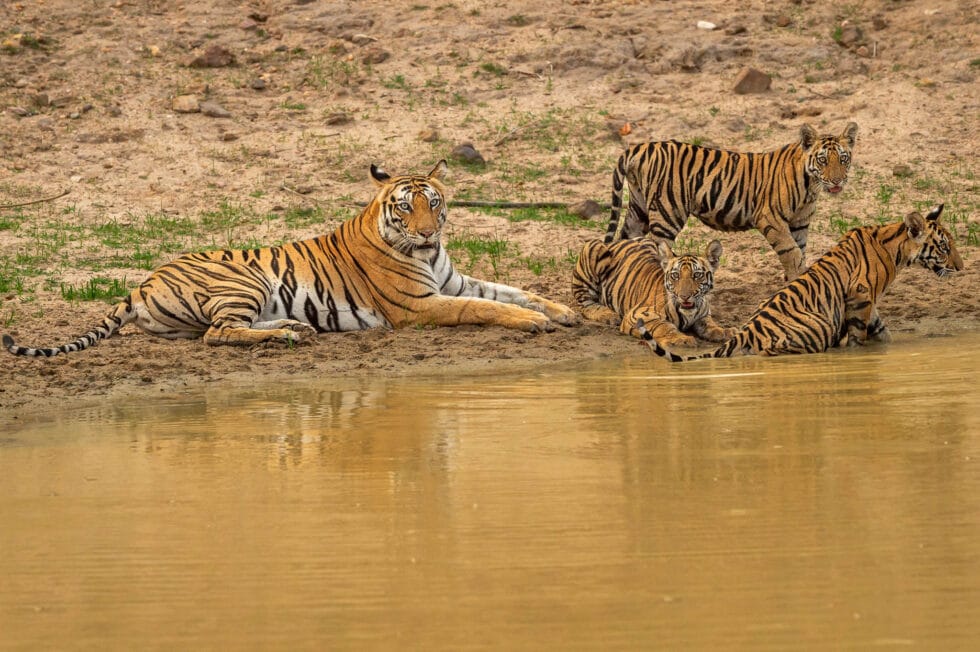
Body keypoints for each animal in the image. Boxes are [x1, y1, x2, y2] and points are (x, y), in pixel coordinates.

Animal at [2, 160, 579, 357]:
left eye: (433, 203)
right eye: (404, 206)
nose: (427, 232)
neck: (429, 253)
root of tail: (141, 283)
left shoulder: (453, 283)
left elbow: (513, 290)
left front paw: (564, 311)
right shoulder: (421, 305)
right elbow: (489, 307)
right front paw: (533, 322)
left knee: (221, 329)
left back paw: (294, 329)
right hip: (244, 279)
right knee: (218, 335)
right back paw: (285, 336)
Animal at [572, 236, 734, 346]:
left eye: (697, 275)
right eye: (675, 275)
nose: (684, 296)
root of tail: (618, 241)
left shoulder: (703, 315)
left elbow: (710, 324)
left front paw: (725, 332)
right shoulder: (637, 315)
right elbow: (663, 326)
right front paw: (681, 339)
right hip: (594, 248)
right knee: (583, 303)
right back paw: (609, 315)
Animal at [603, 122, 859, 281]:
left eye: (843, 159)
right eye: (823, 160)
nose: (837, 181)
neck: (811, 187)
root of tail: (640, 147)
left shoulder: (799, 223)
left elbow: (800, 251)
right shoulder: (770, 218)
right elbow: (792, 254)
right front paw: (796, 280)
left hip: (639, 210)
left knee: (624, 242)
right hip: (667, 213)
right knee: (659, 251)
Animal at [637, 204, 963, 362]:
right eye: (944, 247)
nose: (960, 267)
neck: (896, 248)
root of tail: (746, 332)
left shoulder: (869, 300)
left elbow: (882, 330)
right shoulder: (859, 295)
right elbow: (859, 335)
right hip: (816, 325)